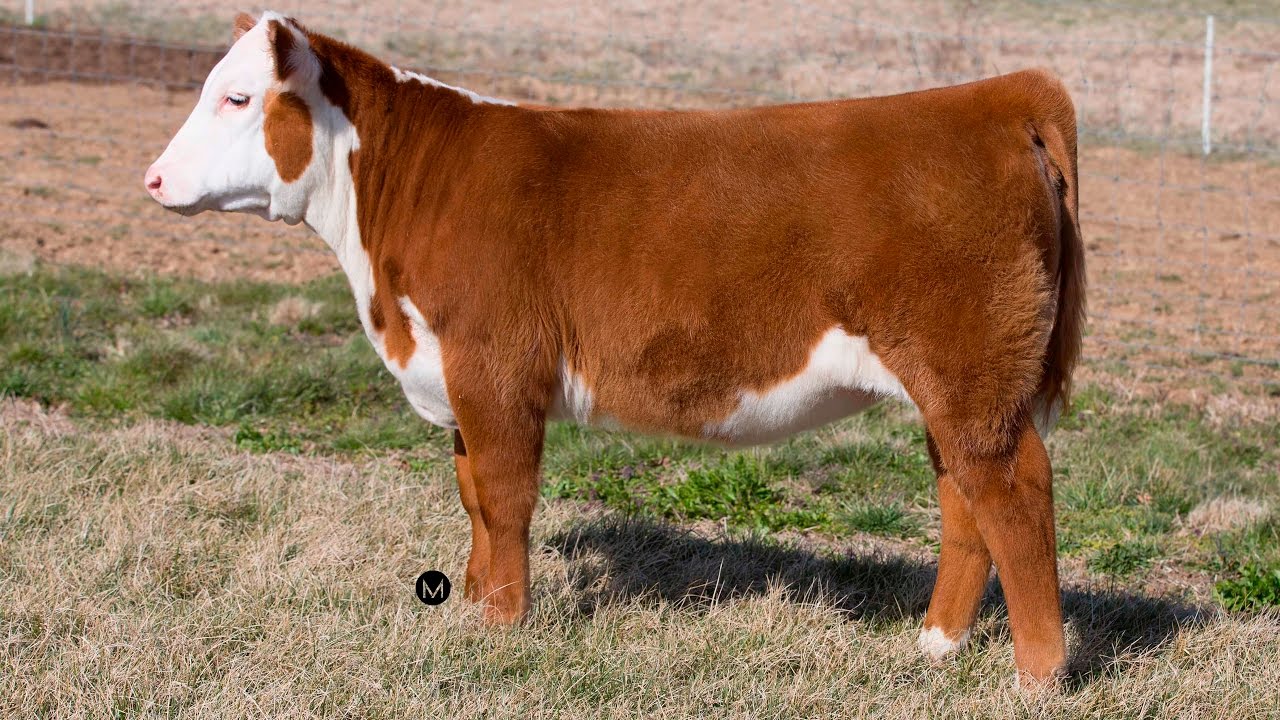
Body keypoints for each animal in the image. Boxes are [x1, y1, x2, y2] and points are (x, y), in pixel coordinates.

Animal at [145, 12, 1085, 683]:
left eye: (237, 98)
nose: (152, 179)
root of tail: (998, 95)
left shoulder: (493, 368)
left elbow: (506, 499)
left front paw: (502, 625)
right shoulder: (457, 379)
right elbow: (473, 499)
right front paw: (474, 605)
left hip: (970, 373)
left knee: (1015, 495)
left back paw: (1036, 676)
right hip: (958, 387)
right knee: (964, 498)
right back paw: (936, 646)